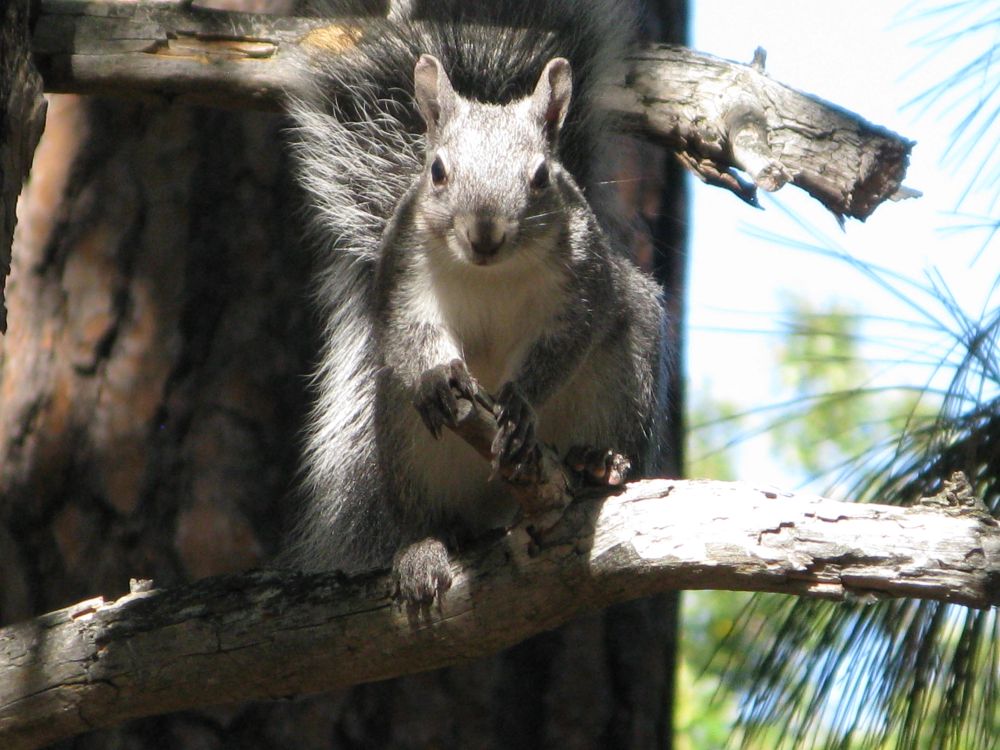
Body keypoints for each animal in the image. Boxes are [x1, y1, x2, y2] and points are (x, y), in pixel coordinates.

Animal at [286, 0, 667, 603]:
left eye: (541, 175)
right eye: (437, 171)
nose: (484, 233)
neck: (491, 273)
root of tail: (498, 506)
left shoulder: (584, 286)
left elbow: (565, 343)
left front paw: (522, 404)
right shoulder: (402, 280)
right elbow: (412, 333)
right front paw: (437, 379)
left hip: (627, 376)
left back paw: (599, 461)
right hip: (403, 445)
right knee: (428, 517)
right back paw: (423, 550)